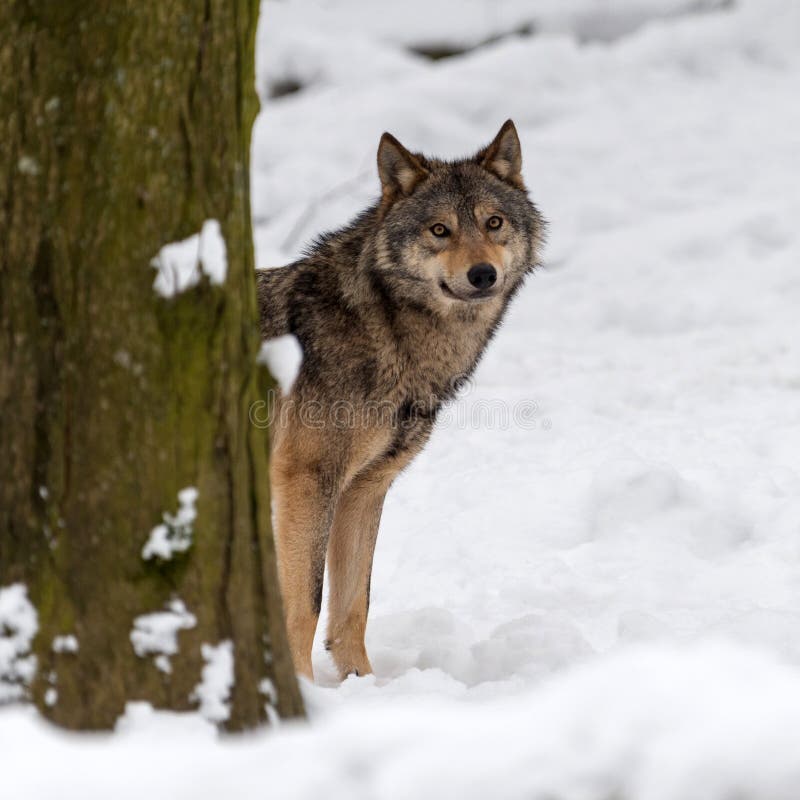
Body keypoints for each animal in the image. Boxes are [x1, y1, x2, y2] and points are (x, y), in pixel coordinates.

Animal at [257, 120, 545, 680]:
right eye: (439, 230)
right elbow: (306, 603)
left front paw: (363, 685)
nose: (483, 274)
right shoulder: (306, 481)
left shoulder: (364, 489)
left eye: (493, 222)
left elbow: (354, 605)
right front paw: (301, 687)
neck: (386, 329)